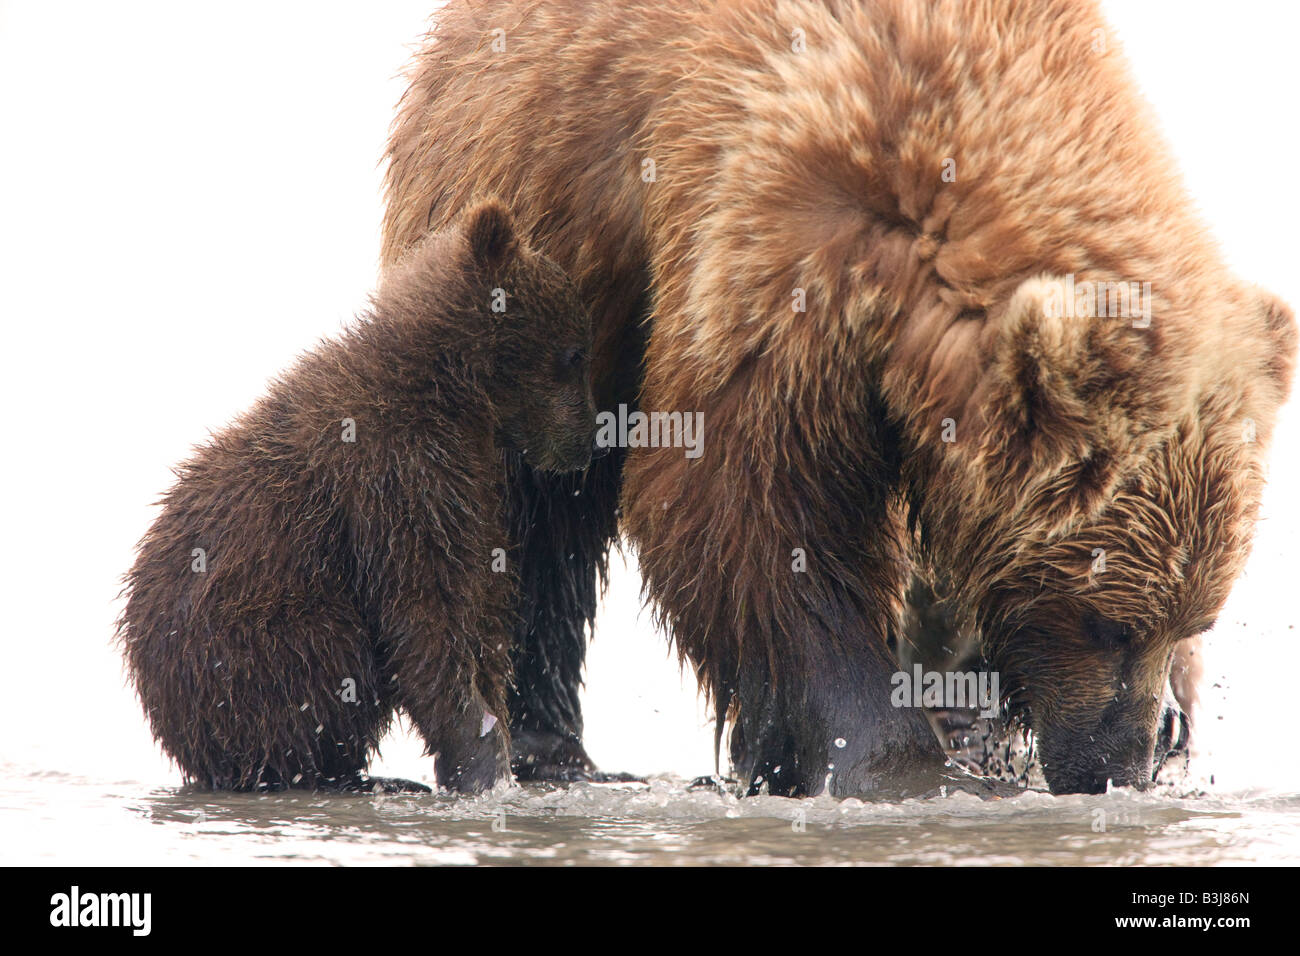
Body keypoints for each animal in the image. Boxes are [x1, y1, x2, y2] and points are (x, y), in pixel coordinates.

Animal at [117, 198, 596, 793]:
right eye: (575, 353)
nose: (592, 438)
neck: (452, 391)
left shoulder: (469, 484)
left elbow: (479, 602)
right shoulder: (395, 474)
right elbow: (426, 610)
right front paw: (480, 757)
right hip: (255, 633)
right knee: (326, 662)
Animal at [381, 0, 1295, 795]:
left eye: (1192, 619)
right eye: (1108, 622)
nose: (1120, 765)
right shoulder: (778, 241)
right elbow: (745, 504)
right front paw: (885, 753)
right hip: (534, 241)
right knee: (534, 513)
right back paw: (551, 743)